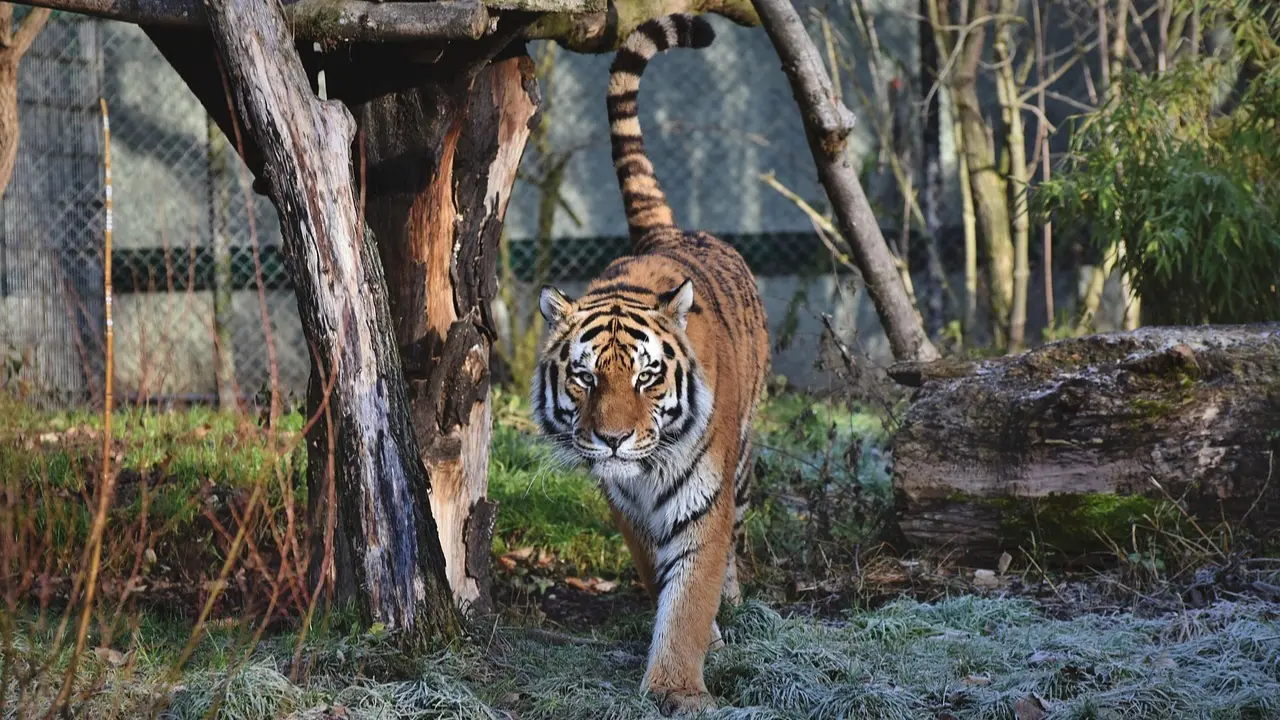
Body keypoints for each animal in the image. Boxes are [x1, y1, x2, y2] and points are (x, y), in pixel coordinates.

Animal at [530, 13, 770, 715]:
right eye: (584, 376)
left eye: (647, 376)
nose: (611, 440)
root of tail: (667, 234)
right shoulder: (624, 505)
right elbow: (659, 573)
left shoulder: (703, 500)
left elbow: (690, 591)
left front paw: (678, 688)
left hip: (744, 459)